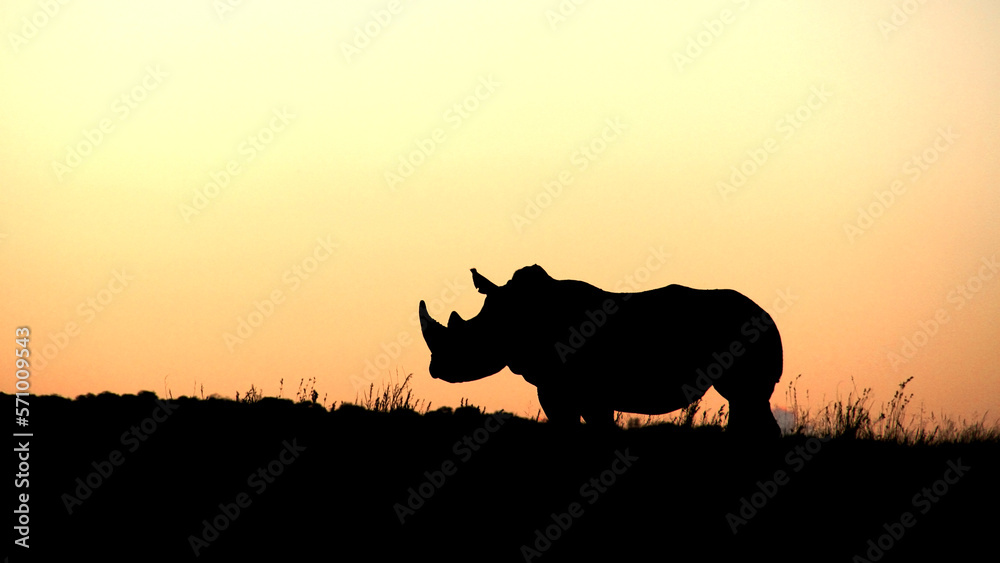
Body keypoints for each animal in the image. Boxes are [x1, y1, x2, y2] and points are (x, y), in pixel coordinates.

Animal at [418, 265, 783, 437]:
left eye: (470, 338)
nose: (436, 370)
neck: (512, 318)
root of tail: (768, 315)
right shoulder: (569, 389)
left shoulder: (573, 388)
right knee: (746, 401)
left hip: (745, 331)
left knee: (745, 396)